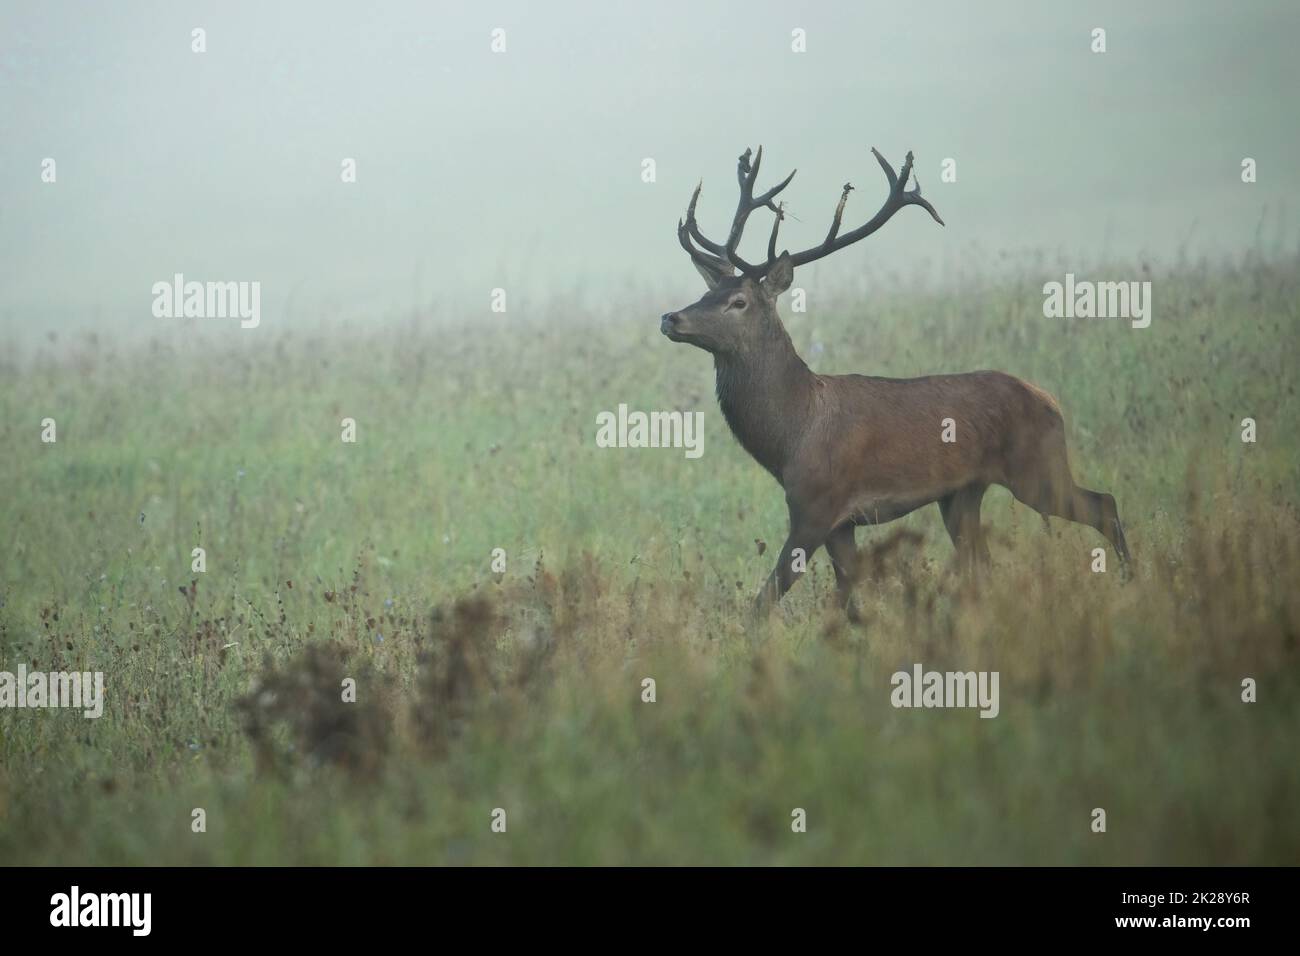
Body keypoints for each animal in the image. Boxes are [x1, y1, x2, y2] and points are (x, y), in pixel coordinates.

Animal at [660, 146, 1131, 619]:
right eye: (706, 293)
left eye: (738, 301)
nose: (670, 317)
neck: (791, 435)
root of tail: (1049, 400)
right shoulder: (840, 523)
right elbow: (851, 599)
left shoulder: (817, 505)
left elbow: (766, 600)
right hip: (962, 493)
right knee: (982, 563)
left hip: (1035, 468)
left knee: (1104, 504)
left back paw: (1133, 579)